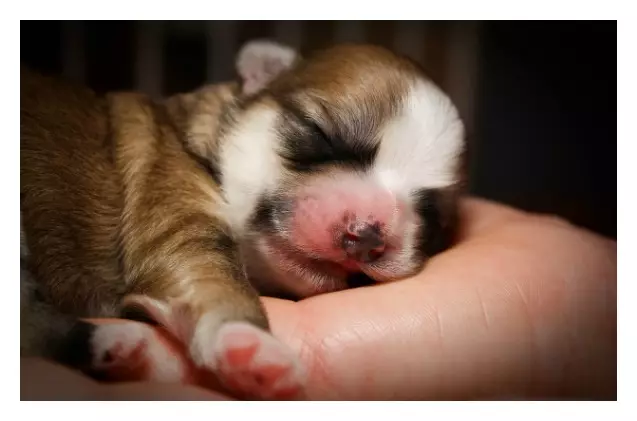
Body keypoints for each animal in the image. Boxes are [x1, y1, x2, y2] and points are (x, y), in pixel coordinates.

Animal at [21, 41, 468, 398]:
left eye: (431, 215)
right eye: (320, 134)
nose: (367, 234)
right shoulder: (173, 205)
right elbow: (212, 276)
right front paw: (250, 345)